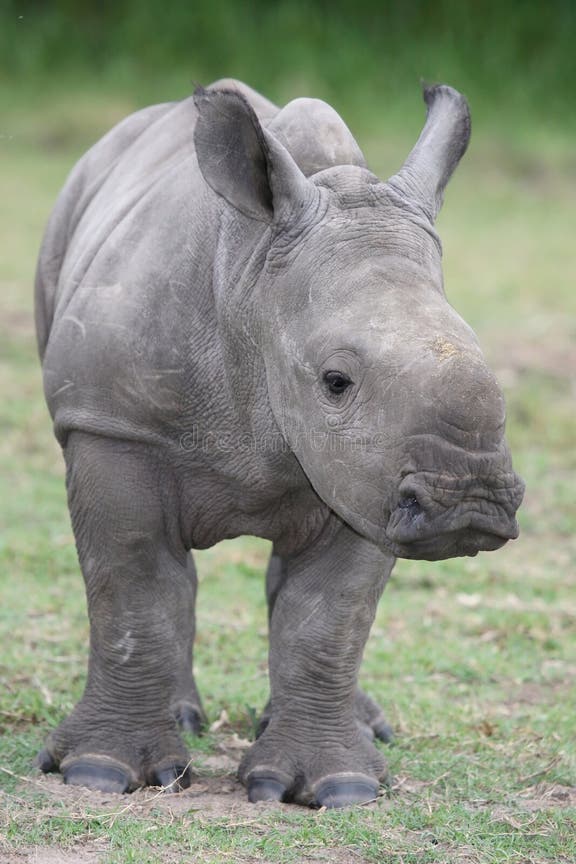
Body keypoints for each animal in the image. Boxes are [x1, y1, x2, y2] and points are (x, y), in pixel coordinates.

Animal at [34, 78, 524, 808]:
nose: (470, 504)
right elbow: (132, 586)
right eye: (335, 381)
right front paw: (100, 772)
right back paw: (182, 720)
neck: (253, 284)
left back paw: (364, 728)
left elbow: (330, 619)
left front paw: (338, 788)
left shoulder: (368, 474)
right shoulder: (111, 423)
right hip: (68, 217)